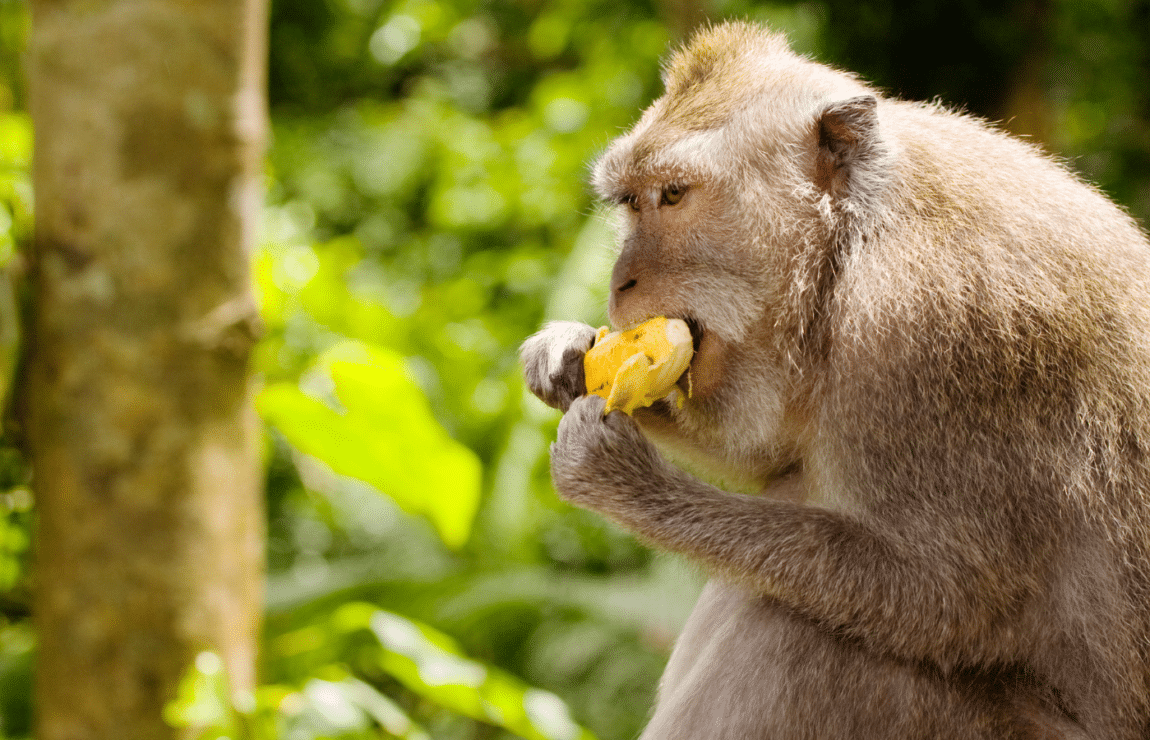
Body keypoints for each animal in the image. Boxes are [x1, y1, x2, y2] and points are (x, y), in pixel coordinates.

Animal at [519, 21, 1150, 740]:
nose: (620, 280)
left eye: (672, 195)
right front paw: (566, 354)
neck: (852, 242)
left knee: (800, 632)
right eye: (630, 201)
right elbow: (772, 454)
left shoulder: (930, 337)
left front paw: (624, 478)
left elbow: (957, 602)